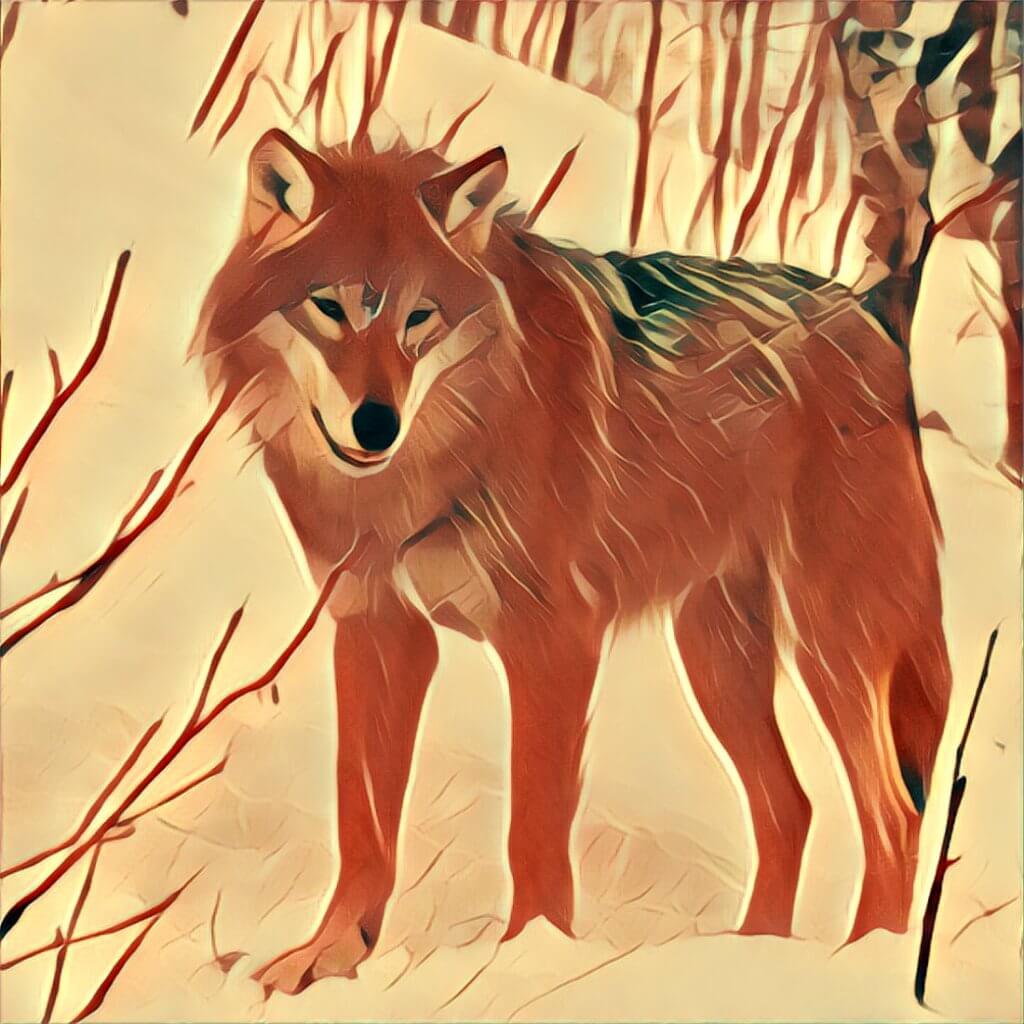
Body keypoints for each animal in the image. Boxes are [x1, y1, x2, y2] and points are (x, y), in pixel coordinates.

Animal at [193, 128, 952, 994]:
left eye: (420, 317)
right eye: (330, 307)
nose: (377, 424)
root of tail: (871, 323)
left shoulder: (552, 638)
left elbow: (533, 825)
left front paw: (524, 962)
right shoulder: (379, 631)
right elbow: (363, 820)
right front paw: (325, 960)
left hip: (832, 642)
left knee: (893, 812)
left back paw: (863, 968)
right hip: (716, 655)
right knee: (792, 808)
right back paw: (747, 960)